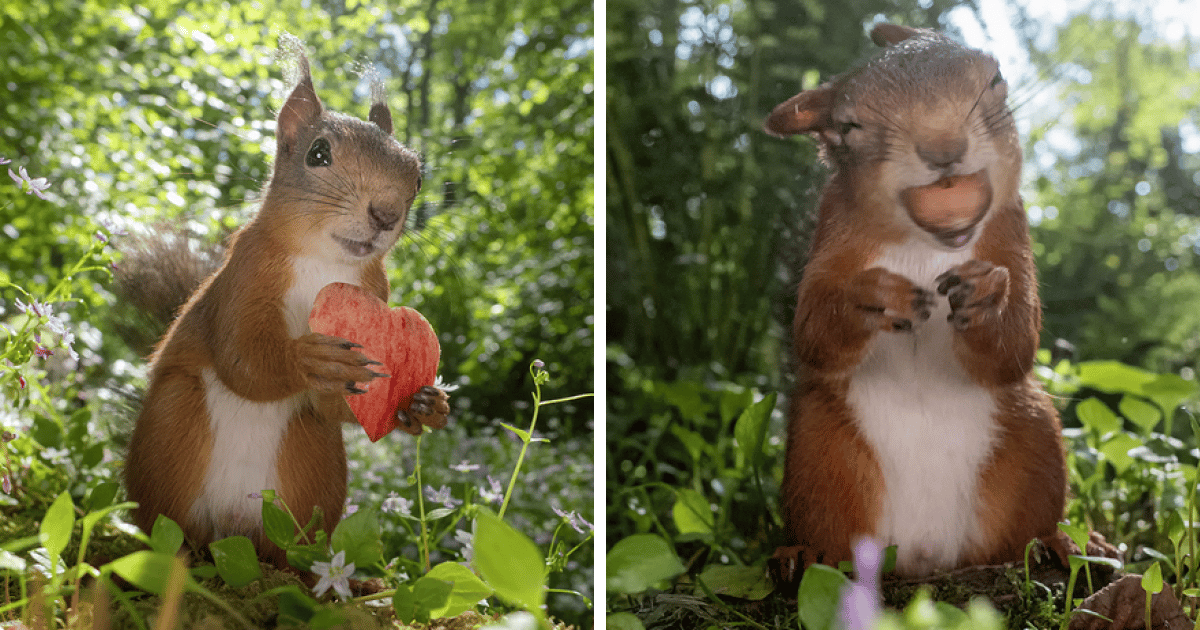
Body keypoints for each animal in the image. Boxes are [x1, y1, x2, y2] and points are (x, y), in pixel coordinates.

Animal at [123, 45, 450, 571]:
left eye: (417, 177)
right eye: (318, 153)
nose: (385, 214)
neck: (322, 260)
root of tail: (230, 531)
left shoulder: (376, 294)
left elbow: (339, 404)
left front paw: (425, 405)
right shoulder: (245, 275)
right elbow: (242, 359)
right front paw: (309, 358)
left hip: (312, 460)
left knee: (287, 544)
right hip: (172, 428)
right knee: (170, 529)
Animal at [763, 23, 1068, 581]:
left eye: (995, 79)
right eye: (849, 126)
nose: (943, 148)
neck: (929, 245)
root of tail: (927, 557)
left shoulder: (1012, 230)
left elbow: (1017, 345)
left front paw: (987, 298)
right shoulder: (832, 232)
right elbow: (812, 332)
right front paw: (872, 297)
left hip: (1031, 432)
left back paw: (1054, 542)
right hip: (821, 455)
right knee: (829, 526)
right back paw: (805, 553)